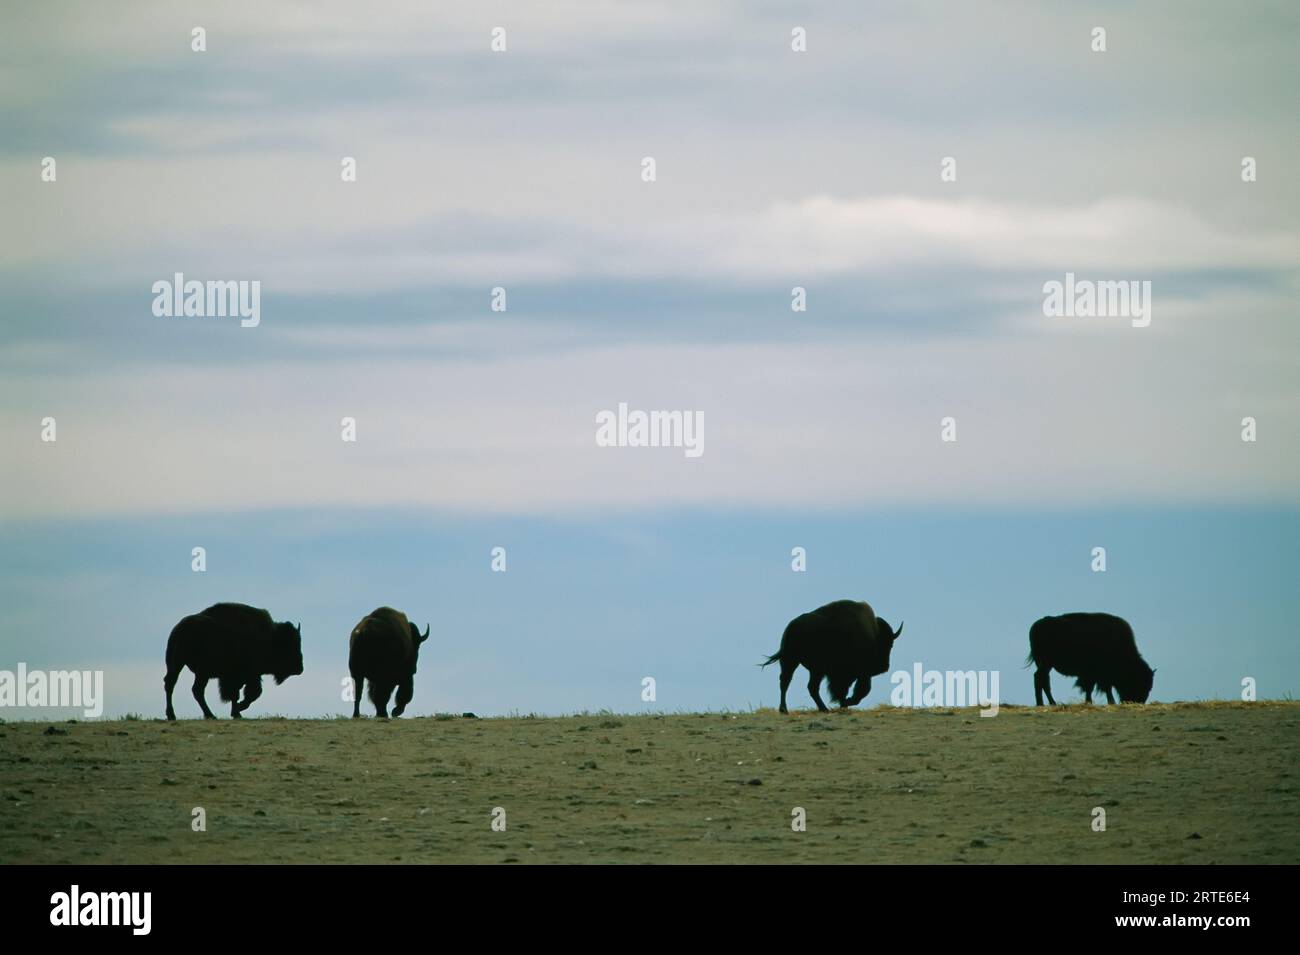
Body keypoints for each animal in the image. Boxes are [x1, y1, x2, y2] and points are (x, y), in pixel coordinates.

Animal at [163, 603, 304, 720]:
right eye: (289, 646)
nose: (300, 669)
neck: (271, 638)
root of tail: (178, 628)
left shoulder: (246, 677)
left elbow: (242, 694)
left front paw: (236, 712)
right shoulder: (244, 675)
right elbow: (248, 693)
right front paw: (238, 711)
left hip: (197, 671)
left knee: (192, 689)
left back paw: (206, 715)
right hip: (182, 665)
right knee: (177, 685)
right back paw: (177, 715)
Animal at [762, 599, 903, 714]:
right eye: (889, 645)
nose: (884, 667)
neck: (874, 634)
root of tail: (792, 627)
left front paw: (844, 704)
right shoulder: (857, 673)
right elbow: (859, 690)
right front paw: (846, 702)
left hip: (799, 665)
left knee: (794, 683)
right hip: (805, 666)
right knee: (798, 684)